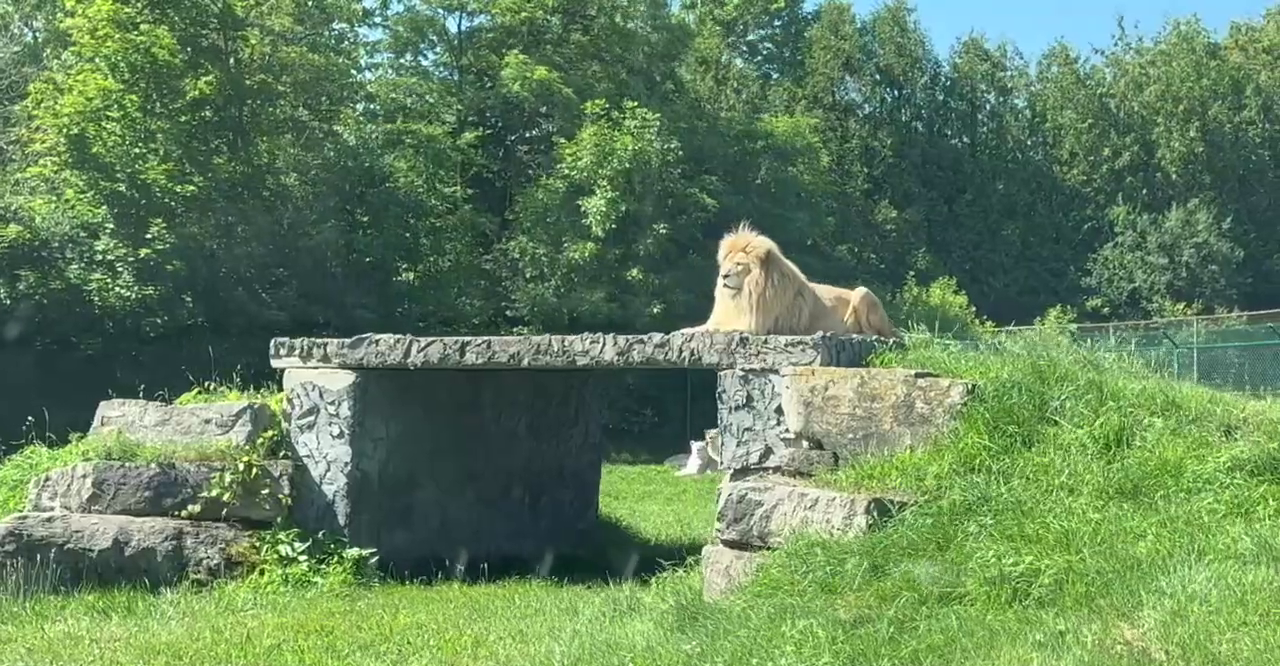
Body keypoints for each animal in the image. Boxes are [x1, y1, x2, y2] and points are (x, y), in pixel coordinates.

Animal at [676, 222, 900, 339]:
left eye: (739, 264)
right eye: (725, 264)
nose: (724, 276)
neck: (742, 295)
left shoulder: (754, 325)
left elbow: (716, 328)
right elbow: (705, 326)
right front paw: (684, 330)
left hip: (863, 291)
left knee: (877, 334)